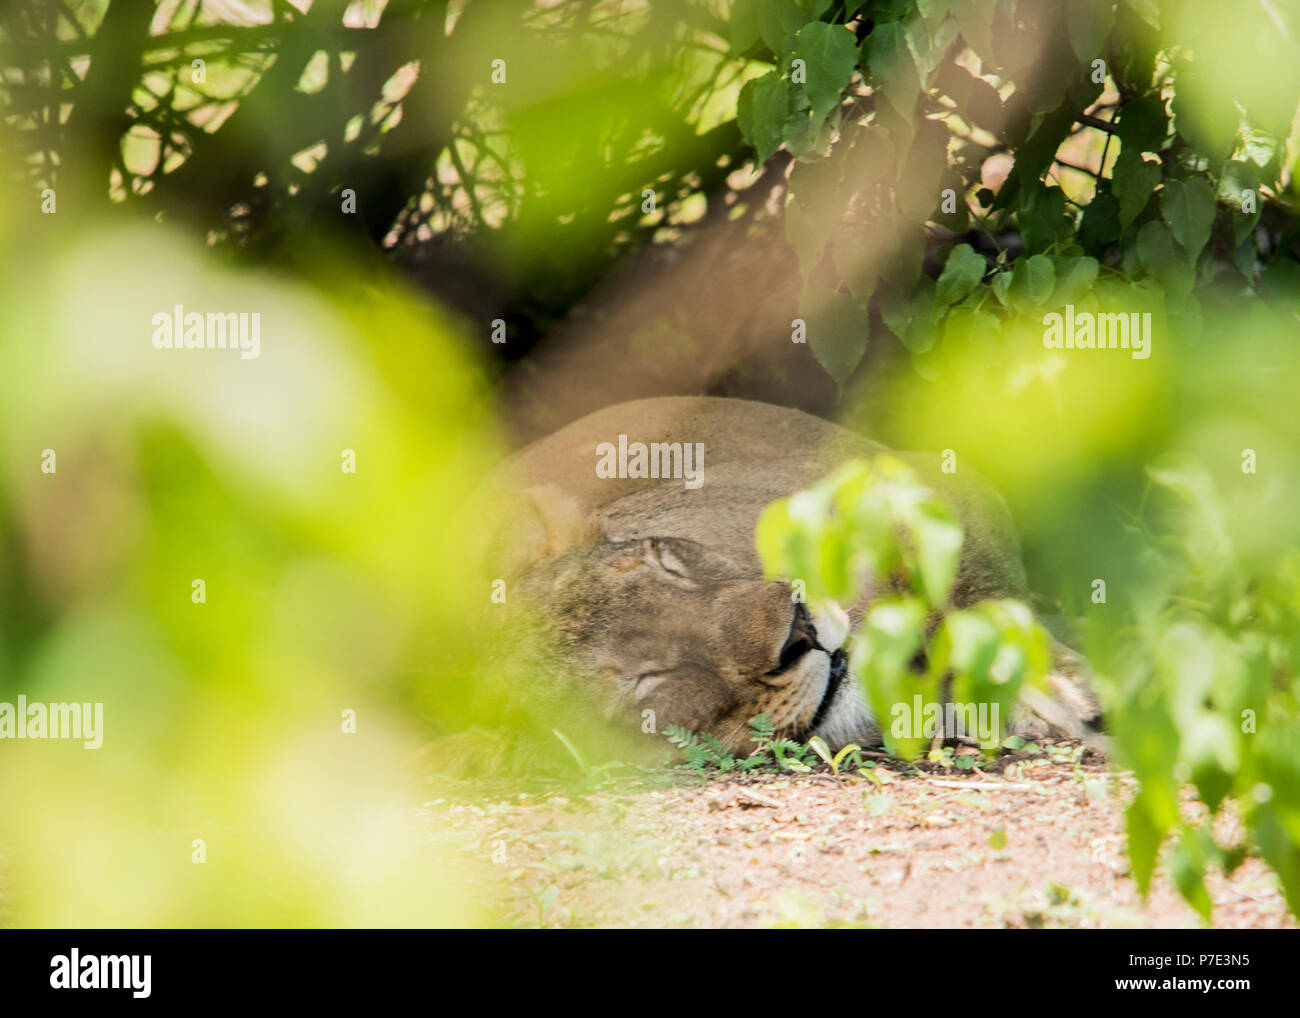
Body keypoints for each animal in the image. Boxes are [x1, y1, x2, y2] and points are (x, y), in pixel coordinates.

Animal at [481, 396, 1102, 758]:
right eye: (645, 683)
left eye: (665, 558)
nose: (796, 630)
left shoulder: (916, 482)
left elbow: (979, 592)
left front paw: (1065, 687)